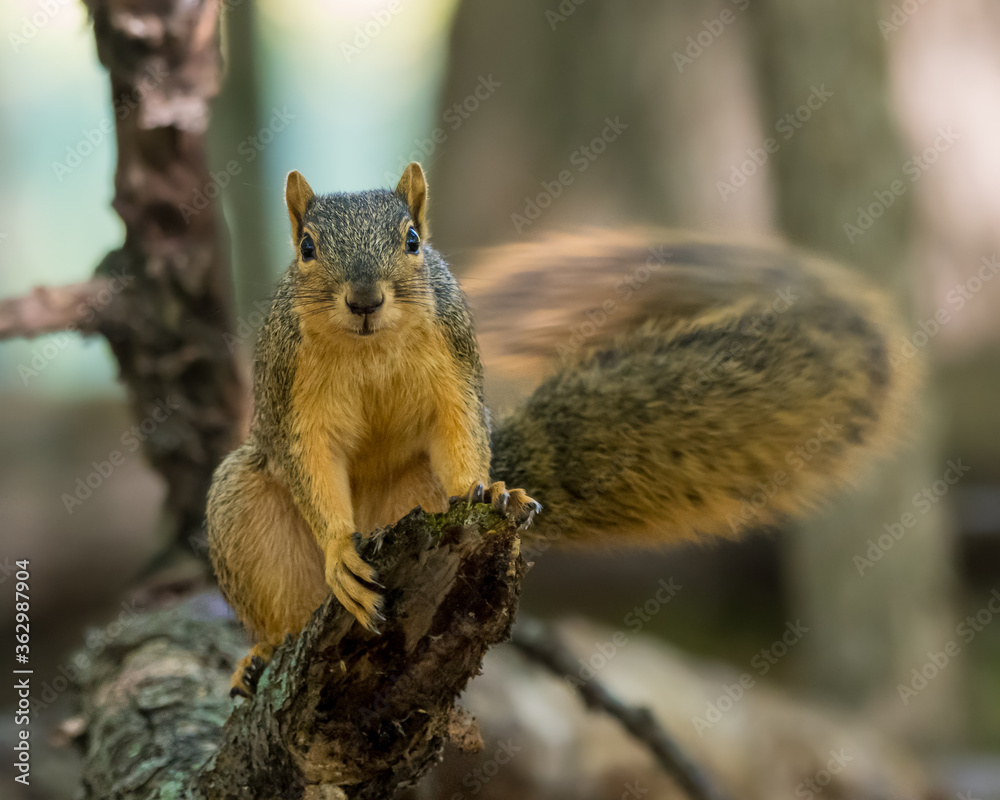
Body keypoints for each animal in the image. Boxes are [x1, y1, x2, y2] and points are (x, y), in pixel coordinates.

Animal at [208, 164, 920, 697]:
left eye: (412, 239)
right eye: (306, 248)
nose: (363, 300)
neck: (369, 347)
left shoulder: (453, 361)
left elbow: (460, 431)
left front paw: (488, 489)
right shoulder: (291, 393)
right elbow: (309, 460)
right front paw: (339, 551)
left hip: (417, 498)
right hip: (245, 512)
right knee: (281, 615)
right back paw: (263, 652)